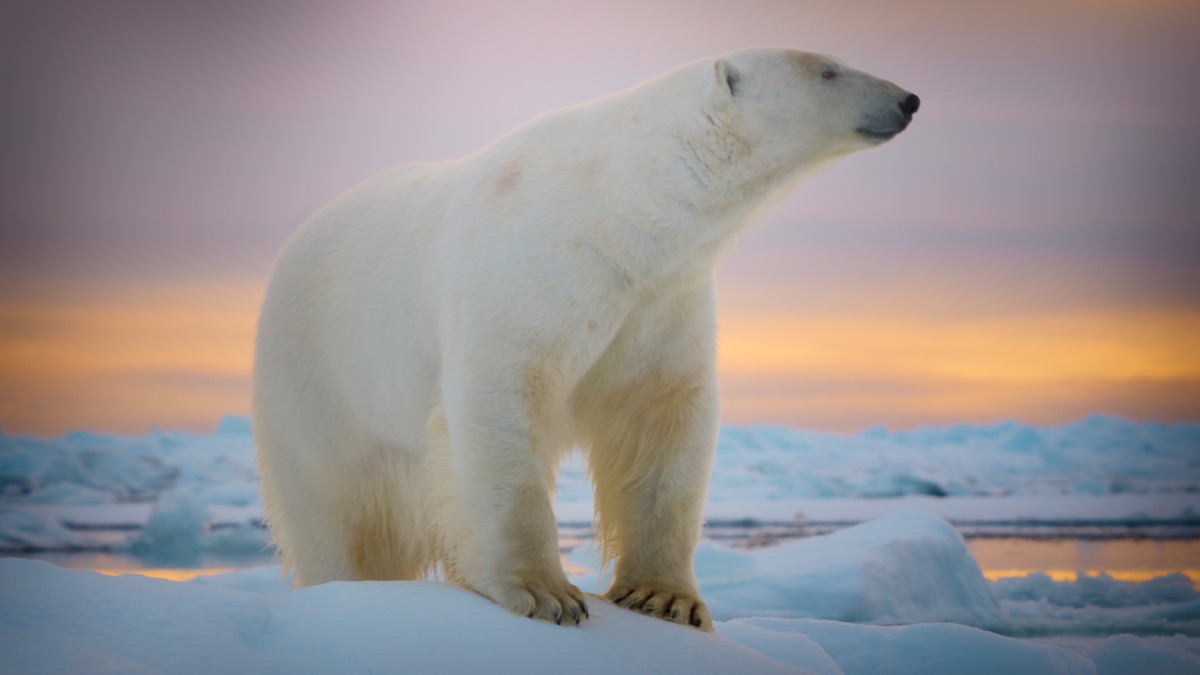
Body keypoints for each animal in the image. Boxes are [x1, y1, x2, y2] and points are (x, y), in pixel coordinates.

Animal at [253, 47, 918, 631]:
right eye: (828, 70)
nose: (908, 99)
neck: (617, 205)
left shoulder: (661, 299)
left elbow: (663, 416)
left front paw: (665, 599)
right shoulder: (527, 268)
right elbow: (500, 401)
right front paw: (545, 593)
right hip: (317, 383)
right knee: (337, 514)